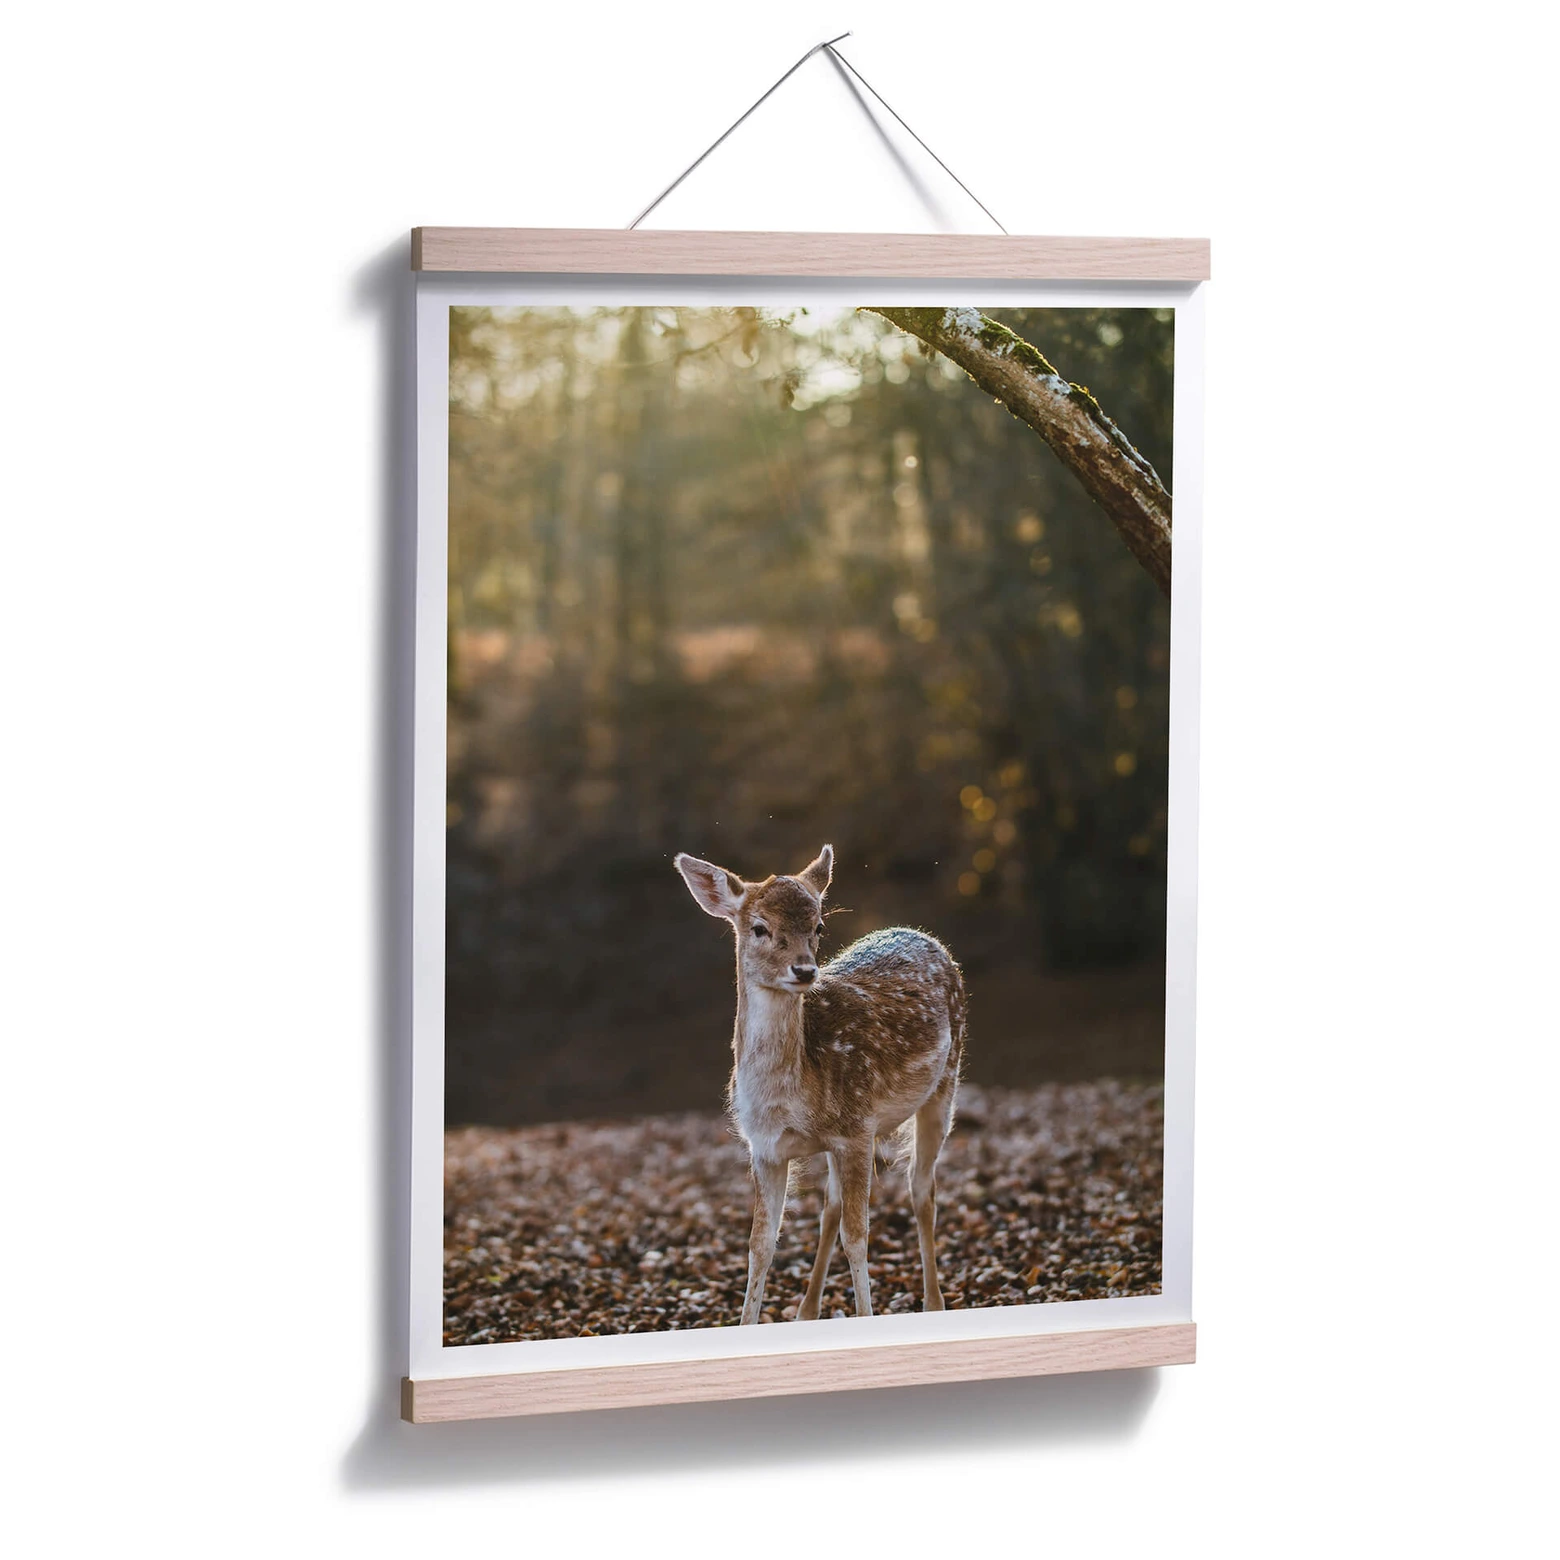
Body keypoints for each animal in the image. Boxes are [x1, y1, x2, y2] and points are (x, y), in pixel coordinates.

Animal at [674, 845, 966, 1324]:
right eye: (759, 927)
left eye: (818, 926)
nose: (805, 970)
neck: (787, 1099)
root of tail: (923, 936)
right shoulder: (765, 1148)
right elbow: (760, 1244)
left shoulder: (859, 1128)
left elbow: (858, 1237)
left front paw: (866, 1317)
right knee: (831, 1204)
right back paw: (806, 1311)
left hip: (945, 1082)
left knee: (921, 1189)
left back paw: (933, 1303)